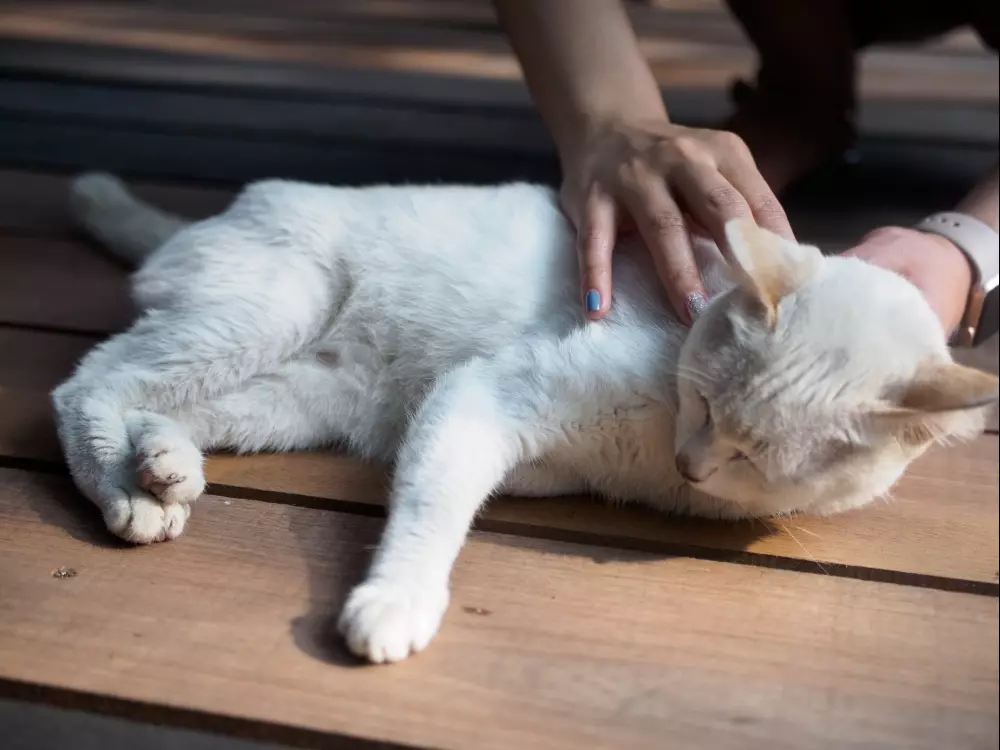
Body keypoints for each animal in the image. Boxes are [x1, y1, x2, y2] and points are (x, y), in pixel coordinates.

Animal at [56, 175, 1000, 664]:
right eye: (703, 403)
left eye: (754, 458)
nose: (692, 465)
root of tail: (221, 211)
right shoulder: (485, 395)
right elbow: (433, 509)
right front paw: (395, 604)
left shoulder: (497, 434)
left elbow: (451, 480)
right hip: (270, 313)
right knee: (86, 384)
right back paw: (127, 493)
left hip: (289, 398)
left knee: (156, 398)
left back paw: (165, 463)